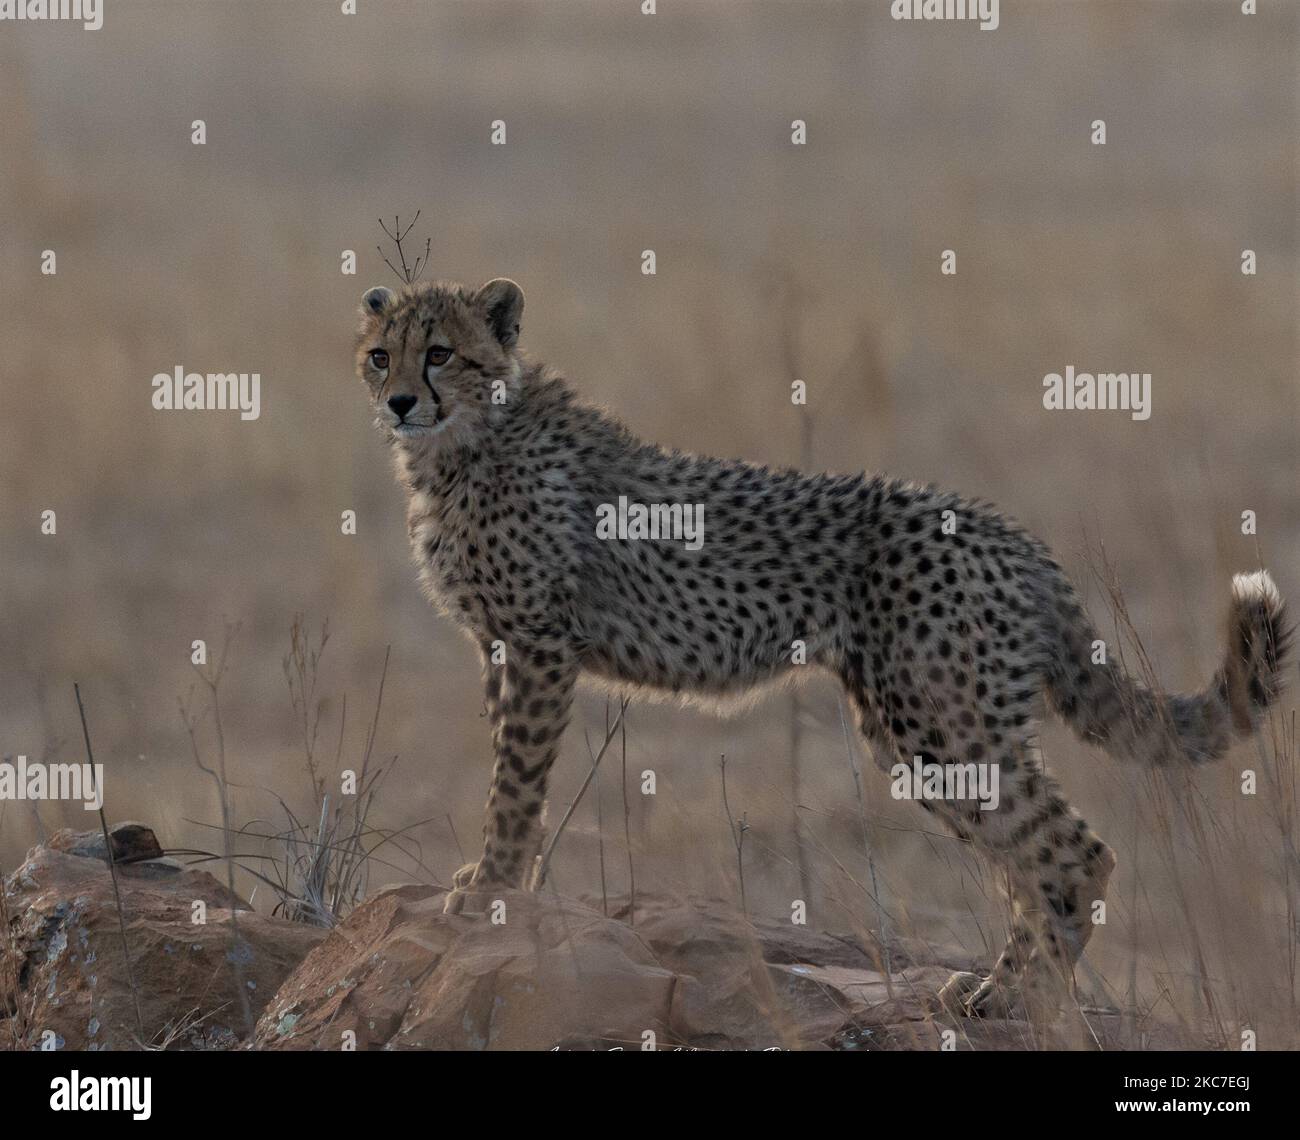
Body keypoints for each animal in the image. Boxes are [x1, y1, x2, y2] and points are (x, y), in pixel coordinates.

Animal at [354, 276, 1291, 1019]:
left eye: (440, 354)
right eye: (378, 356)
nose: (398, 402)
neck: (464, 442)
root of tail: (1015, 534)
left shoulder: (537, 644)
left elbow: (514, 783)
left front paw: (494, 888)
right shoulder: (502, 647)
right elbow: (509, 774)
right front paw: (500, 882)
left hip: (936, 720)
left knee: (1073, 852)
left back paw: (1017, 996)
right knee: (1030, 858)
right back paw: (999, 986)